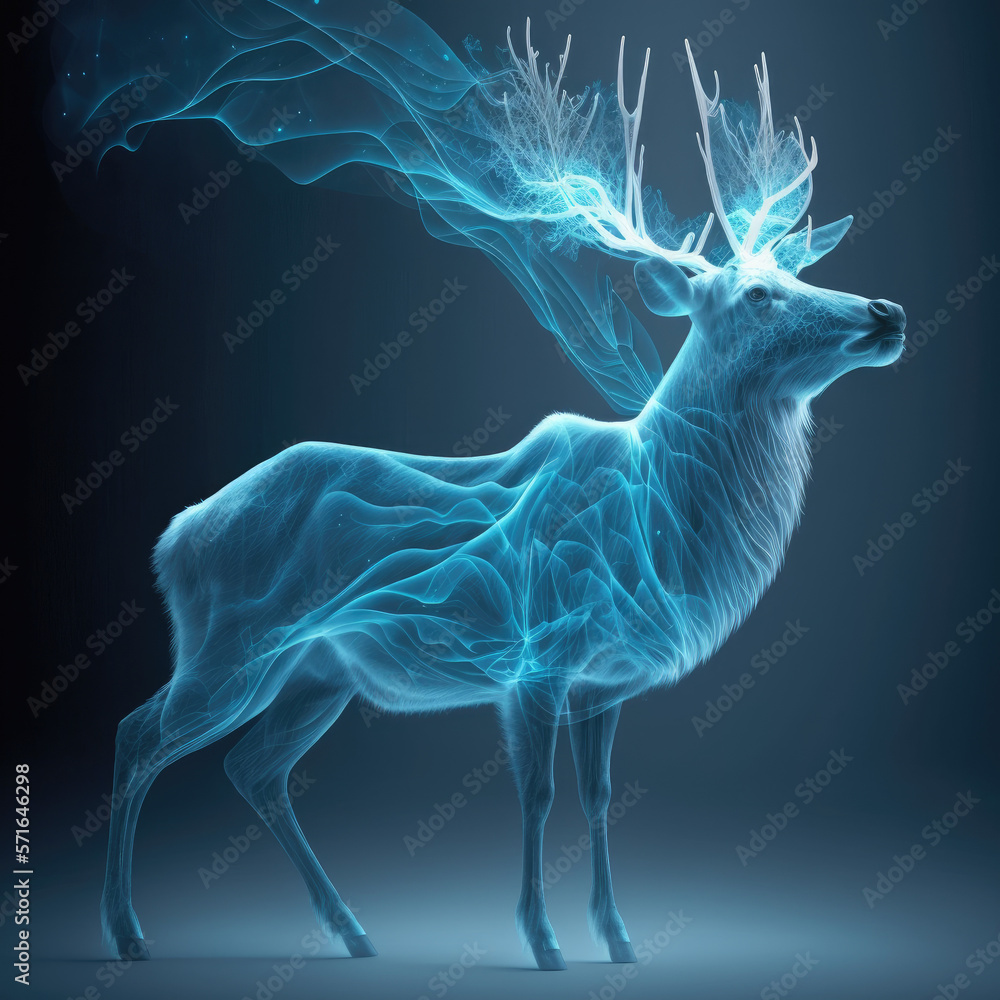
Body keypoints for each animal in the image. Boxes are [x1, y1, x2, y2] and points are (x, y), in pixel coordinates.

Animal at [91, 16, 906, 973]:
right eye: (759, 293)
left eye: (803, 273)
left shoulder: (604, 674)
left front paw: (619, 938)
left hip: (314, 672)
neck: (657, 520)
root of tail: (173, 536)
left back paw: (353, 931)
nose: (886, 313)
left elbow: (599, 795)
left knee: (251, 767)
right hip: (232, 644)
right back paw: (128, 932)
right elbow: (540, 794)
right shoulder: (538, 649)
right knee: (137, 733)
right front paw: (544, 940)